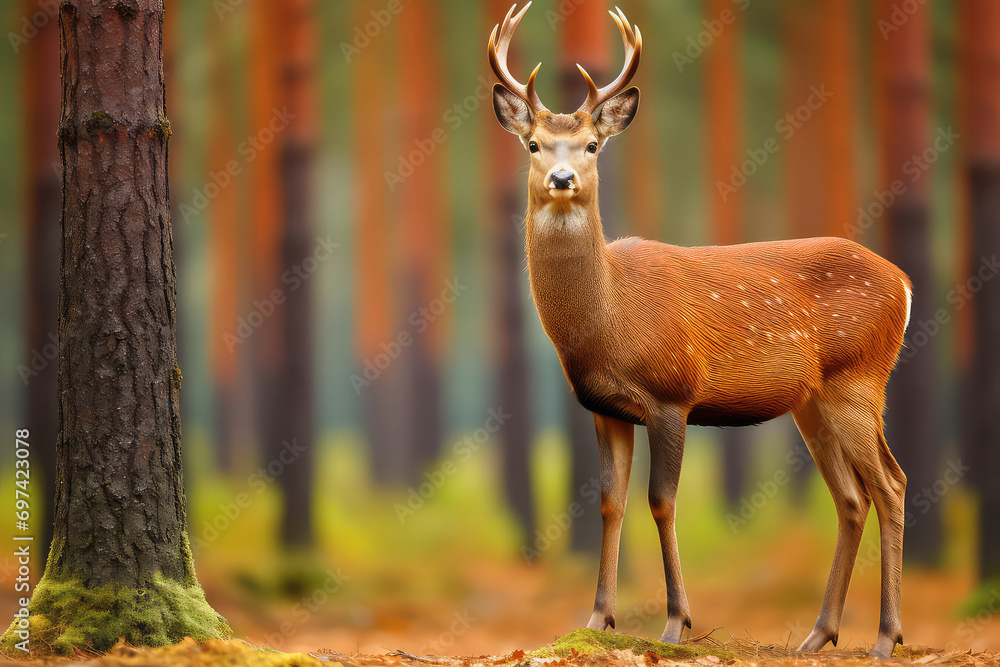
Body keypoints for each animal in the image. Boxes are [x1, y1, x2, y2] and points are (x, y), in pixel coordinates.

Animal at [488, 3, 911, 659]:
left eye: (591, 145)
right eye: (533, 143)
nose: (560, 178)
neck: (610, 321)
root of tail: (906, 284)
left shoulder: (672, 394)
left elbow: (662, 501)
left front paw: (674, 623)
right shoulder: (603, 408)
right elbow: (609, 503)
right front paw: (597, 618)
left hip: (860, 378)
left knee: (891, 484)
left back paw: (886, 637)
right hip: (813, 400)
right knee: (852, 496)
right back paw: (818, 635)